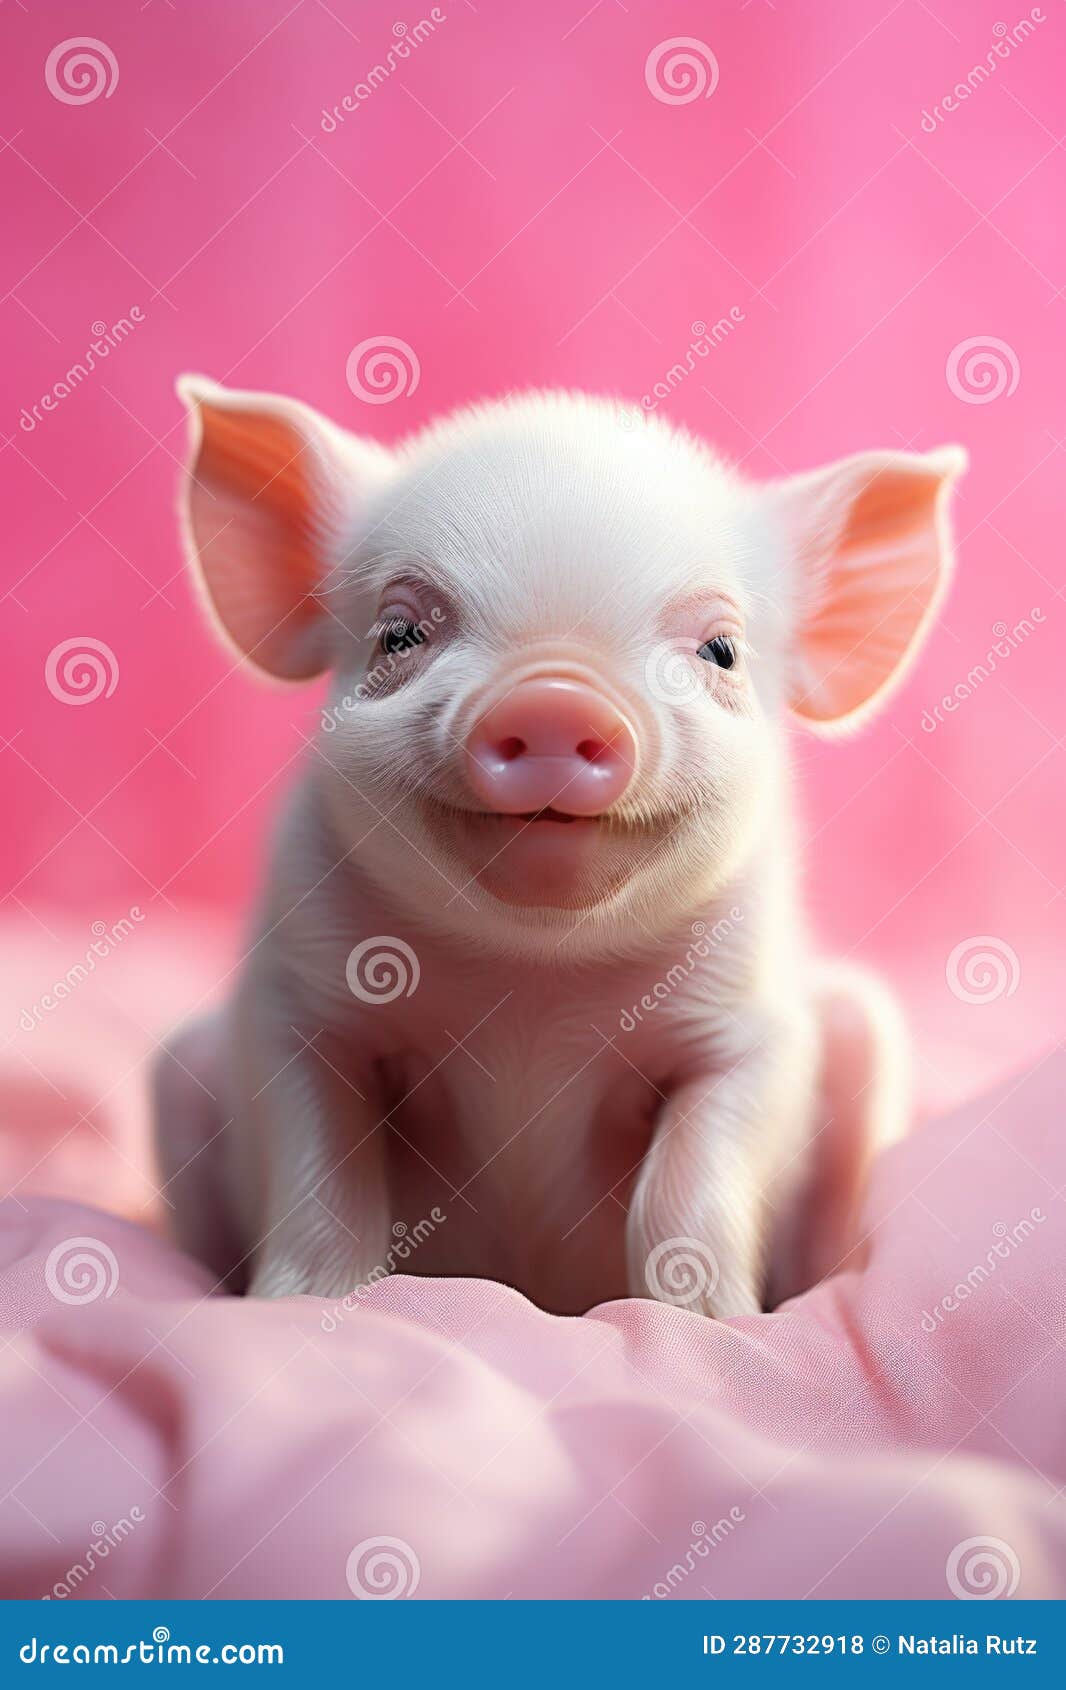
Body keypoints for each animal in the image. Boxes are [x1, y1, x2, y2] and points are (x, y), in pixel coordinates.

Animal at [153, 378, 965, 1318]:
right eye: (400, 634)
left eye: (721, 650)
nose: (554, 696)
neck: (534, 985)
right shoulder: (296, 1003)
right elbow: (322, 1178)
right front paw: (299, 1309)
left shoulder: (750, 1022)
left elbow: (692, 1183)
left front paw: (711, 1324)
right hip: (177, 1066)